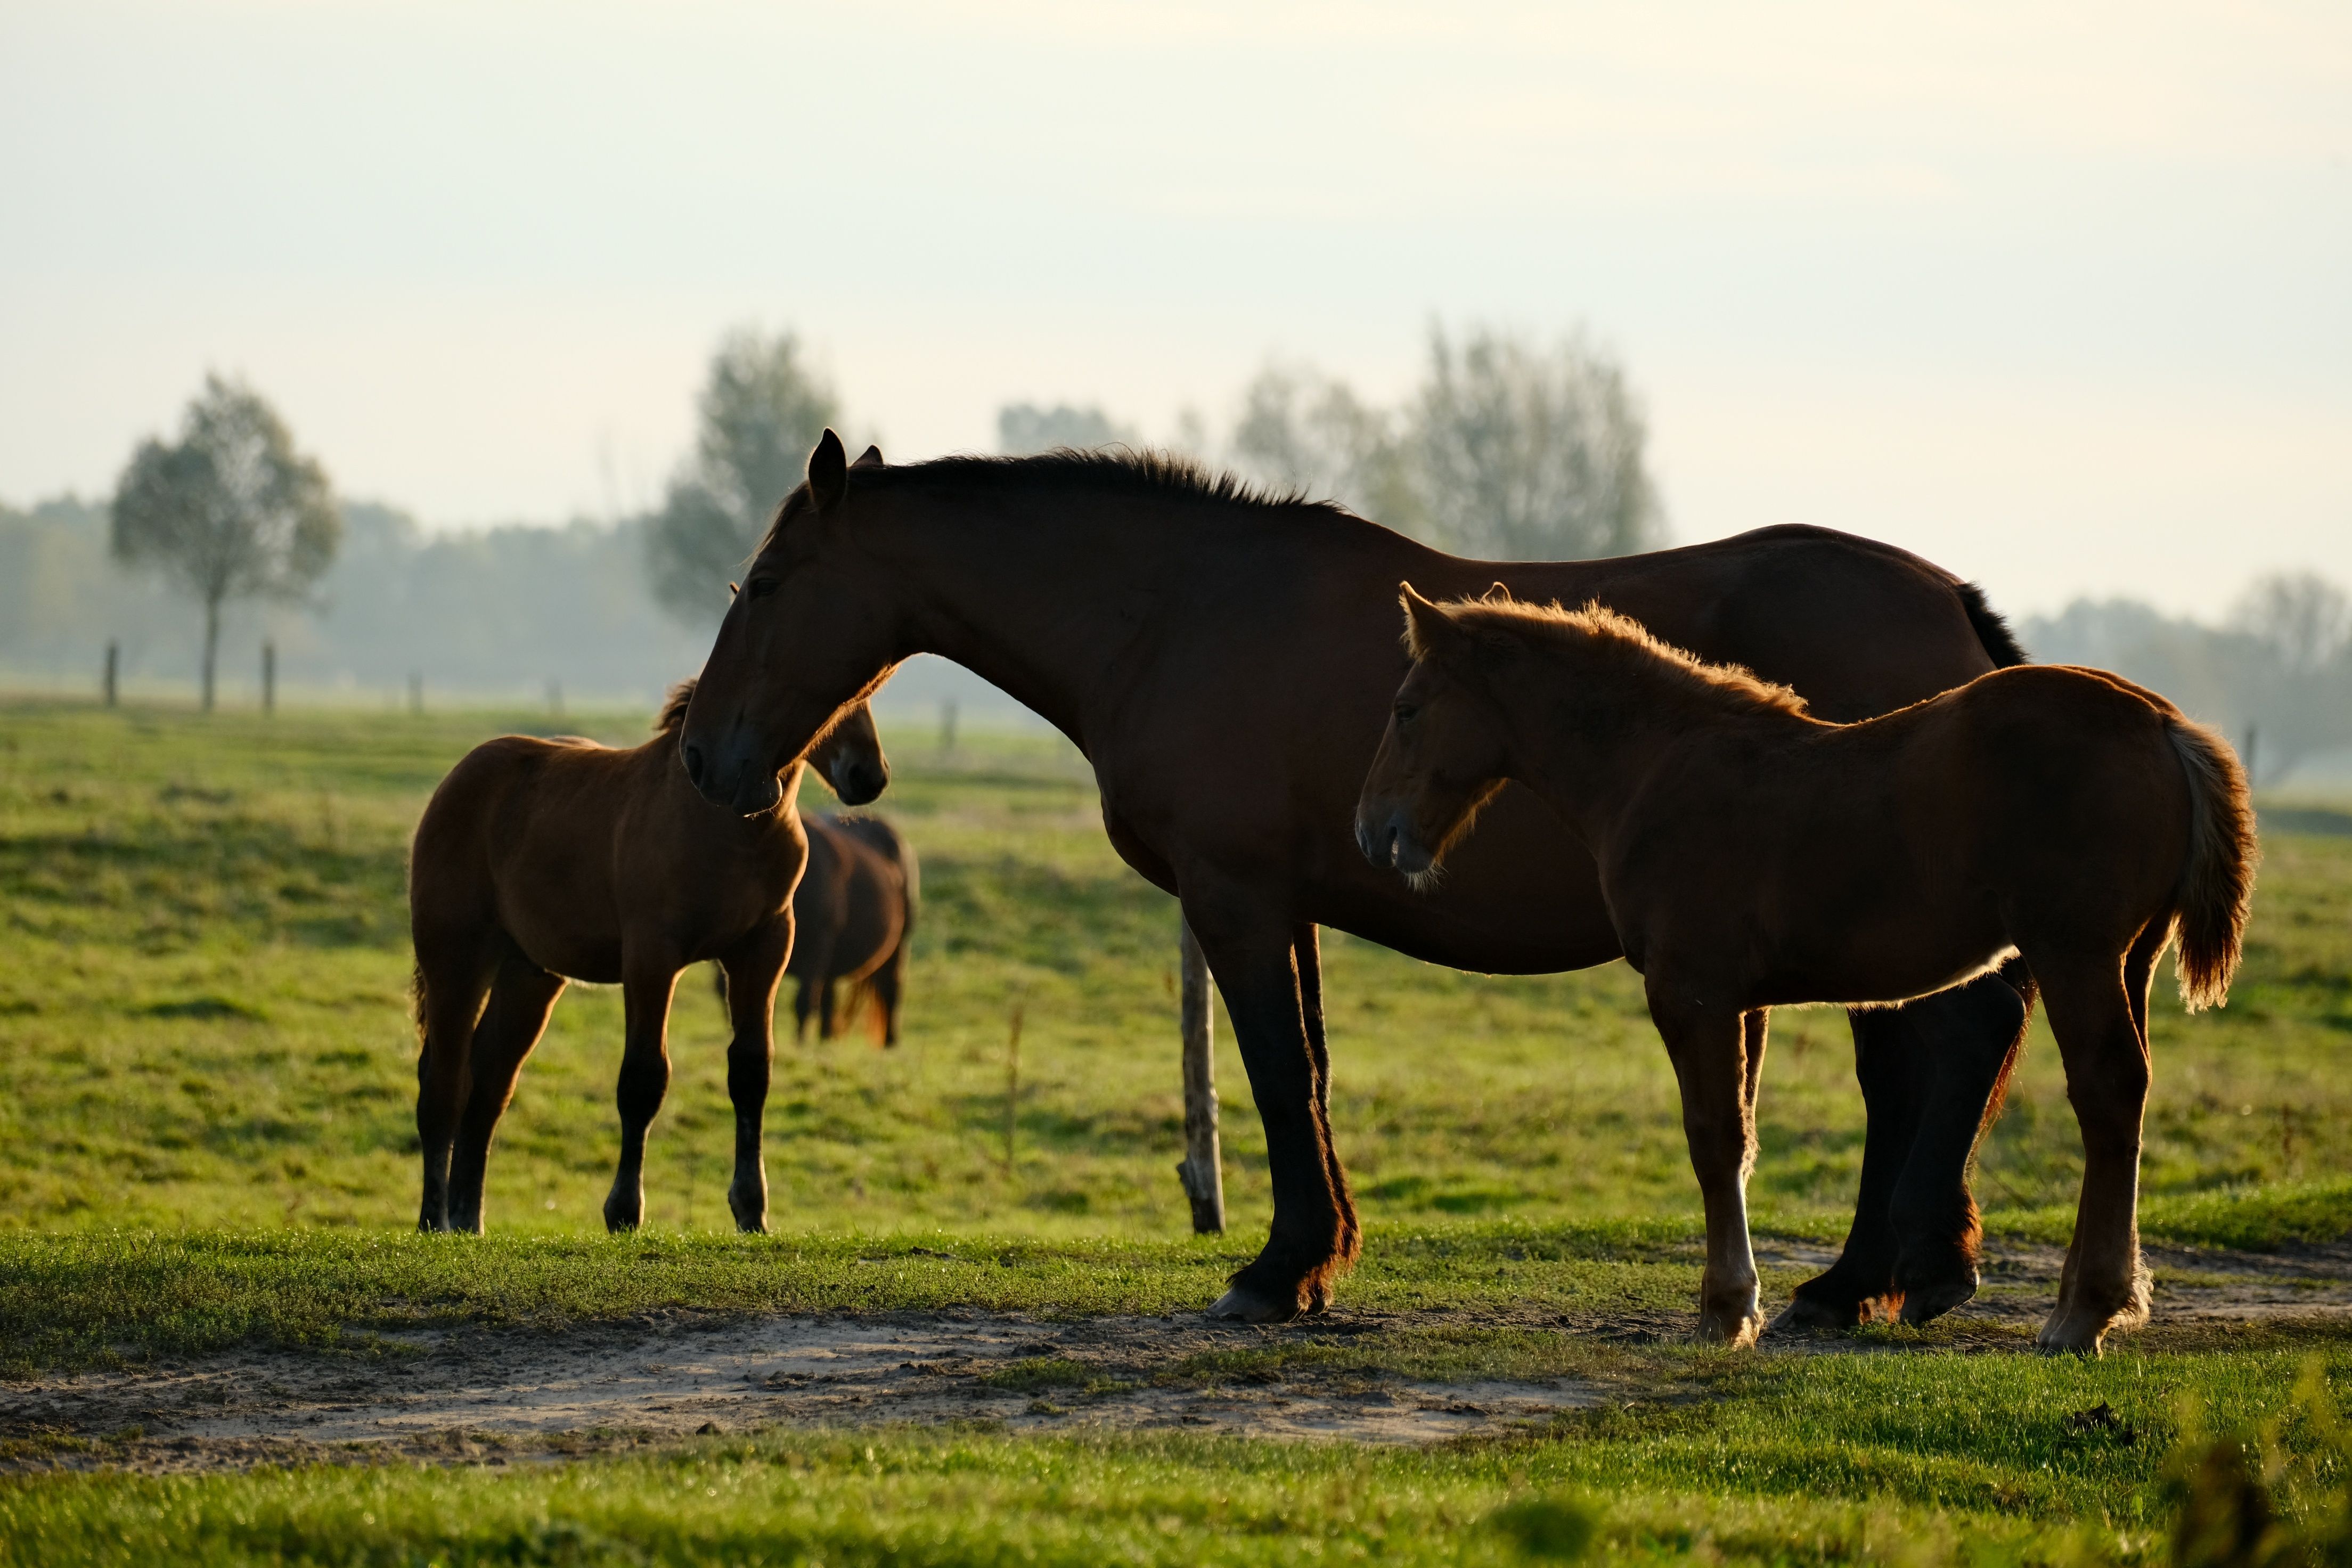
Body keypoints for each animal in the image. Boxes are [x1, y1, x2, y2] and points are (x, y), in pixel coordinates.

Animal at [406, 681, 889, 1236]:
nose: (866, 773)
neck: (728, 828)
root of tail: (458, 777)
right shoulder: (651, 956)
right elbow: (643, 1077)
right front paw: (624, 1211)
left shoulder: (763, 950)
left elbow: (751, 1071)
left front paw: (752, 1211)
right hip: (456, 960)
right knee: (445, 1081)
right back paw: (434, 1220)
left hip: (529, 974)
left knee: (490, 1084)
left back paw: (469, 1222)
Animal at [784, 813, 918, 1046]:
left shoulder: (816, 951)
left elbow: (804, 1003)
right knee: (829, 1001)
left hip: (898, 947)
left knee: (891, 992)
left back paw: (890, 1044)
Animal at [1356, 588, 2255, 1352]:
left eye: (1407, 709)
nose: (1375, 832)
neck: (1658, 768)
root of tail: (2164, 724)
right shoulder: (1741, 1003)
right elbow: (1743, 1141)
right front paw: (1740, 1305)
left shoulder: (1690, 993)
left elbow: (1713, 1138)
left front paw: (1725, 1311)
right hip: (2130, 960)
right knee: (2124, 1097)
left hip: (2075, 953)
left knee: (2106, 1091)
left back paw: (2079, 1314)